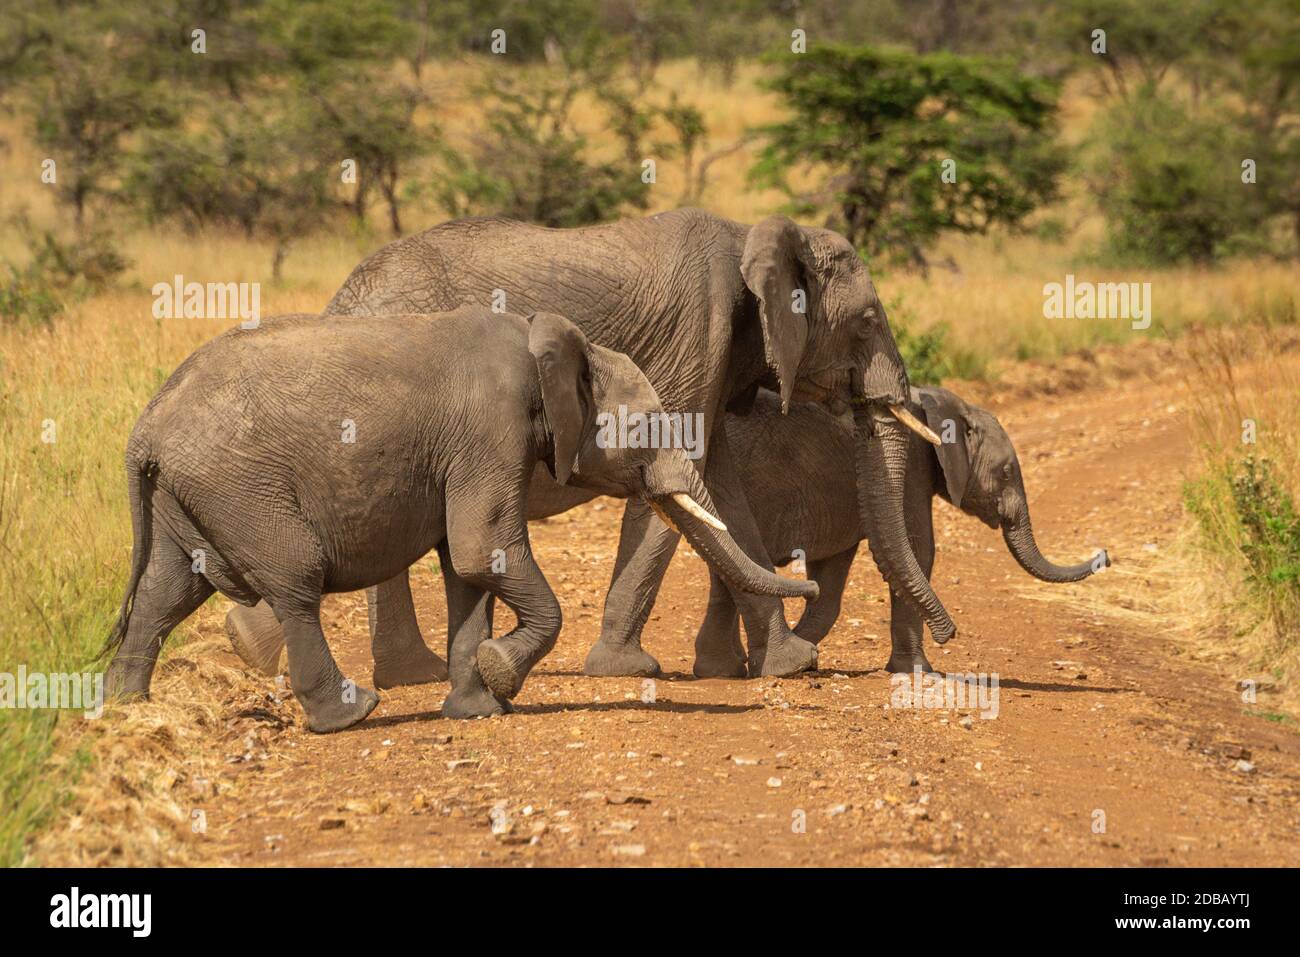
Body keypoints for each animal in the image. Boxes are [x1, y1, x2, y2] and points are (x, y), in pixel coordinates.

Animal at [102, 307, 817, 731]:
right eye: (644, 426)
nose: (806, 578)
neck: (550, 342)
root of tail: (145, 428)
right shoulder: (490, 429)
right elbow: (482, 550)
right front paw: (501, 677)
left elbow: (468, 570)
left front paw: (478, 709)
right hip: (242, 488)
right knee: (294, 583)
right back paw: (353, 713)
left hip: (190, 494)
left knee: (165, 593)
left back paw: (121, 709)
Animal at [224, 208, 955, 685]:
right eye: (868, 321)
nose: (951, 638)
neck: (756, 234)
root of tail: (337, 301)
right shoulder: (698, 331)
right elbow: (678, 491)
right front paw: (628, 669)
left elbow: (721, 495)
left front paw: (789, 664)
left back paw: (366, 669)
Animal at [695, 386, 1109, 674]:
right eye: (1006, 472)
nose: (1104, 556)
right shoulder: (910, 469)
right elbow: (919, 550)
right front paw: (919, 672)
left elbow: (831, 578)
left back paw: (726, 668)